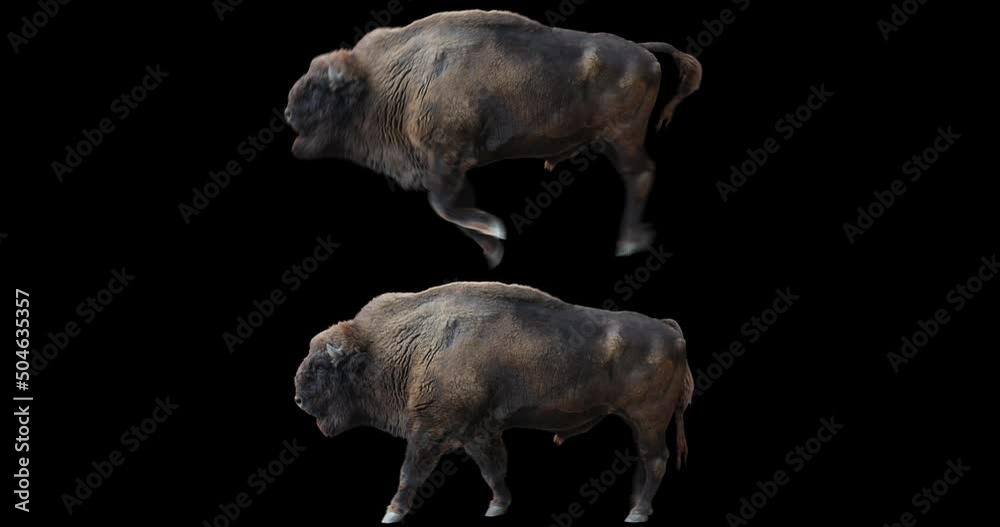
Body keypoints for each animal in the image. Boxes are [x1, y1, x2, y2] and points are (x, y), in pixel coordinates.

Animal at [285, 9, 702, 267]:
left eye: (321, 89)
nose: (288, 112)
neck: (387, 79)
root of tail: (643, 51)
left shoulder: (444, 161)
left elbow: (444, 206)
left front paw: (495, 231)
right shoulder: (447, 170)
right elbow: (451, 209)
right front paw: (492, 251)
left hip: (623, 136)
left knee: (640, 174)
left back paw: (629, 242)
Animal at [293, 281, 693, 523]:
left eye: (323, 365)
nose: (298, 398)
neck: (407, 344)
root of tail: (669, 329)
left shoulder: (429, 429)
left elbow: (410, 472)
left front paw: (392, 512)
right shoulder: (478, 433)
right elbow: (494, 470)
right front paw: (497, 506)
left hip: (648, 420)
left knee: (656, 460)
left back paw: (637, 512)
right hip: (643, 422)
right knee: (648, 461)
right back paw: (638, 508)